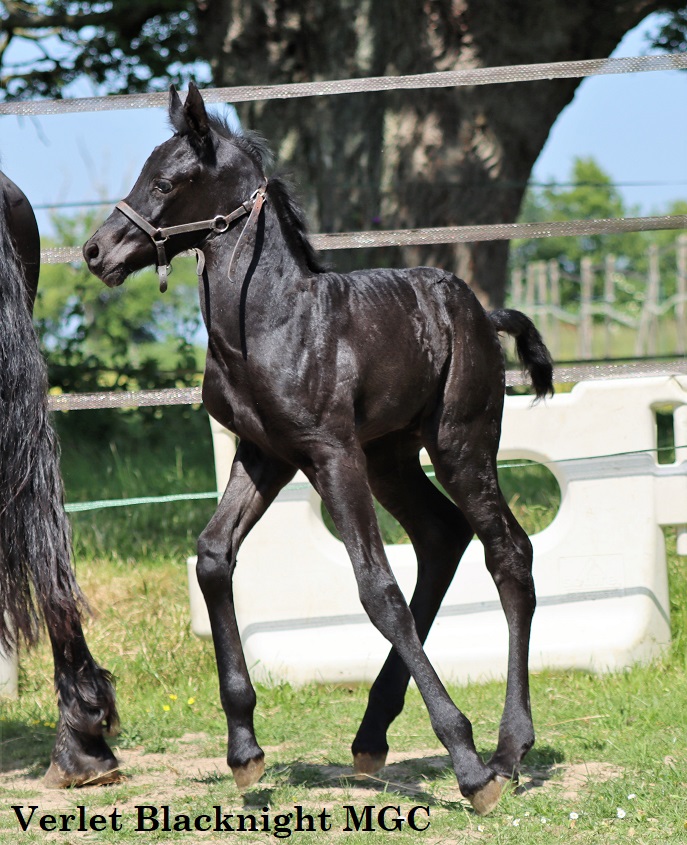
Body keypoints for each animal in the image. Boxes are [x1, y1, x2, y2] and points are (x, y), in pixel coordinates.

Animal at [83, 82, 553, 815]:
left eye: (165, 182)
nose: (97, 251)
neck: (270, 322)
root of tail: (482, 312)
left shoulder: (330, 453)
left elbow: (376, 589)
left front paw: (468, 767)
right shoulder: (265, 453)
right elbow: (213, 557)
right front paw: (244, 751)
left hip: (459, 445)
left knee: (508, 553)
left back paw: (506, 751)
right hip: (391, 457)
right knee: (441, 536)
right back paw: (372, 734)